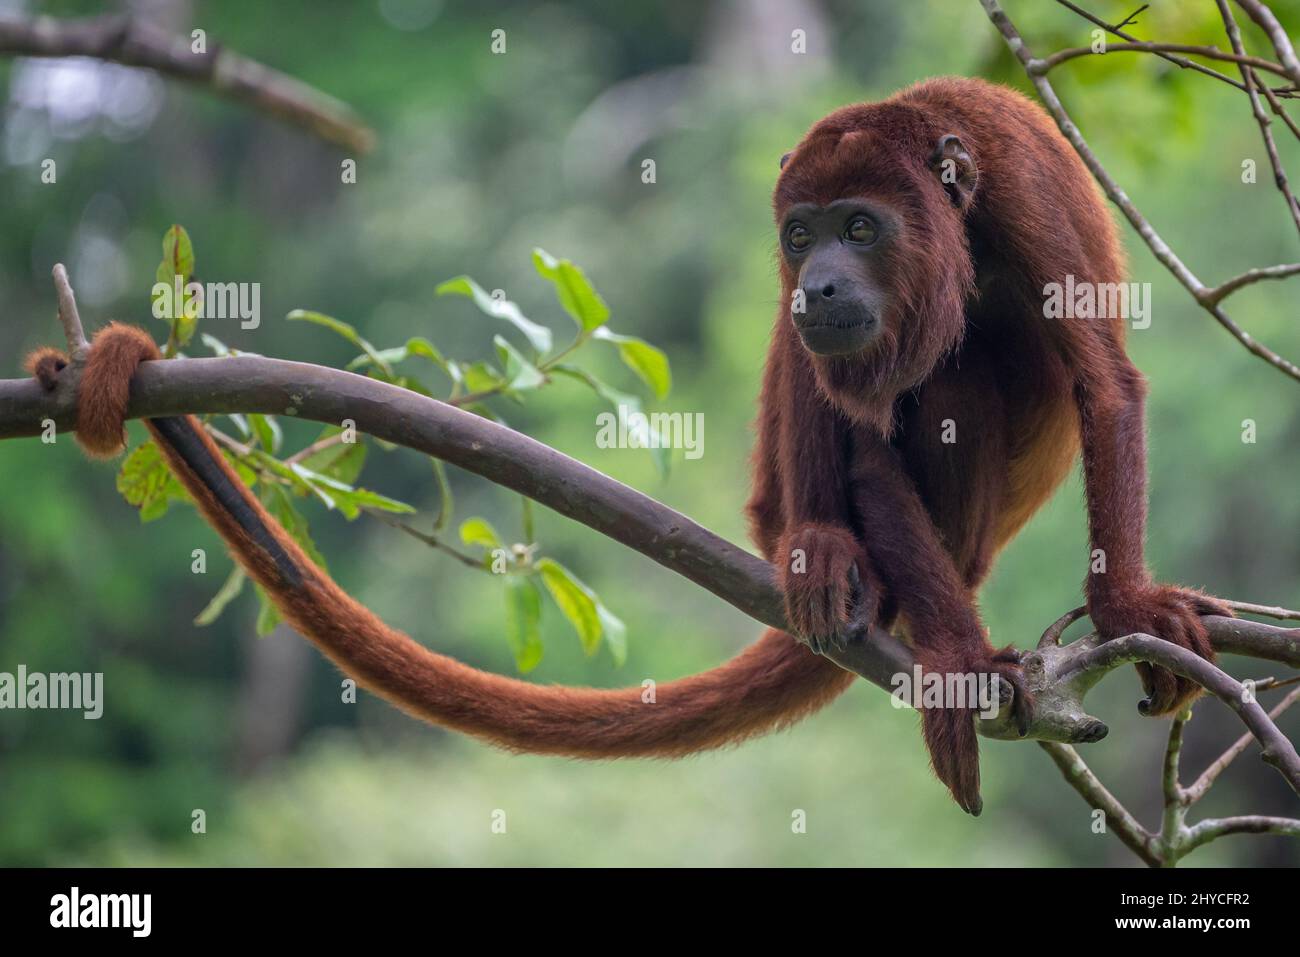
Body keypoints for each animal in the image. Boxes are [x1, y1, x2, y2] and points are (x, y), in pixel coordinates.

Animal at [27, 76, 1227, 816]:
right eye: (802, 232)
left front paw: (1126, 607)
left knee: (977, 367)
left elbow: (1103, 384)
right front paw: (953, 662)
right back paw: (821, 552)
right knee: (823, 386)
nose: (819, 281)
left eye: (862, 226)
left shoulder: (1027, 192)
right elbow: (864, 441)